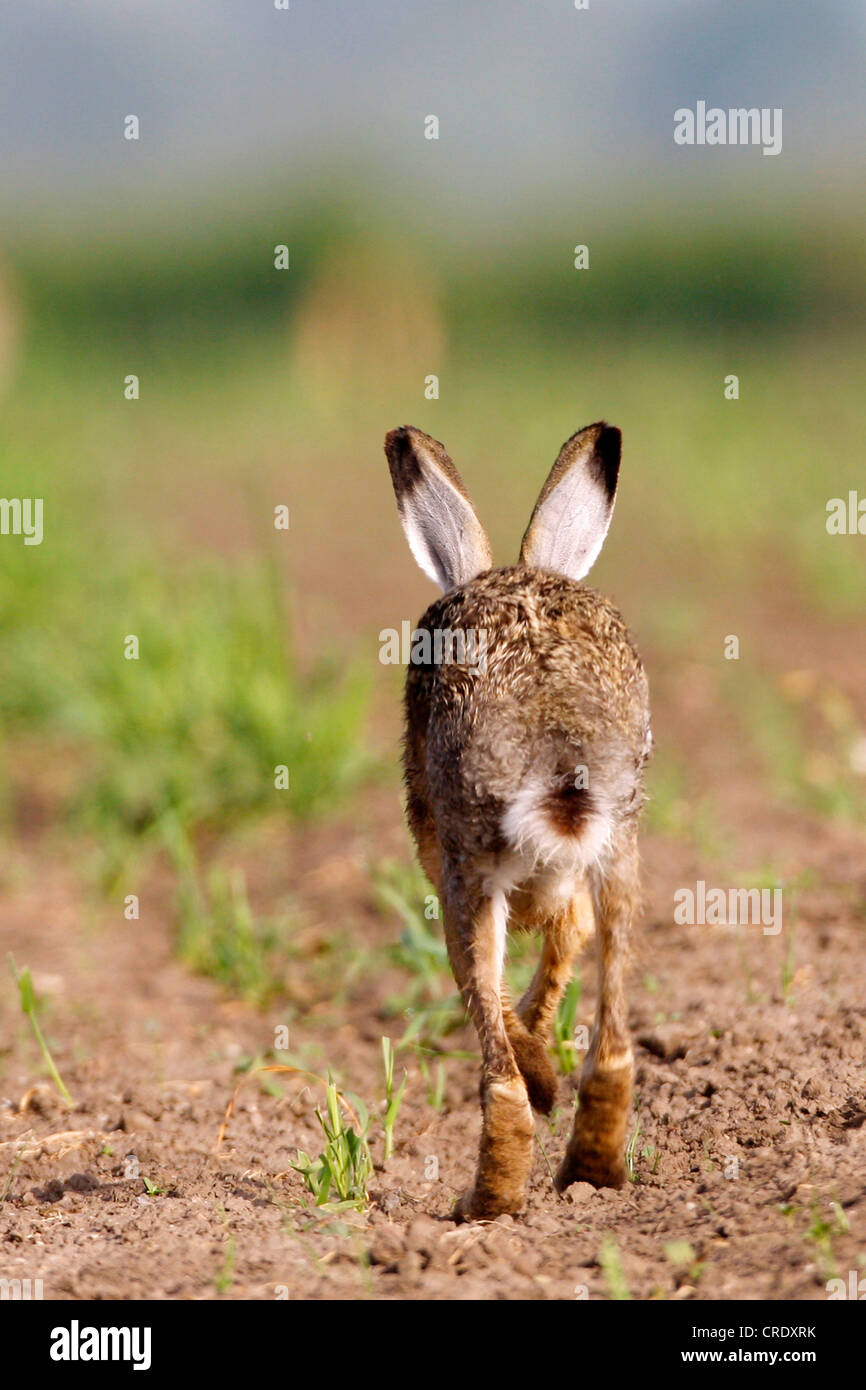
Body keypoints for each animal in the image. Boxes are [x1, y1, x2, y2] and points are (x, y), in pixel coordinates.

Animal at [384, 421, 651, 1221]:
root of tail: (558, 750)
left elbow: (493, 992)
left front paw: (539, 1077)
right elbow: (561, 953)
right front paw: (546, 1068)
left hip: (465, 858)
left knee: (494, 1068)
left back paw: (485, 1204)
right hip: (620, 854)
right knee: (614, 1046)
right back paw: (591, 1174)